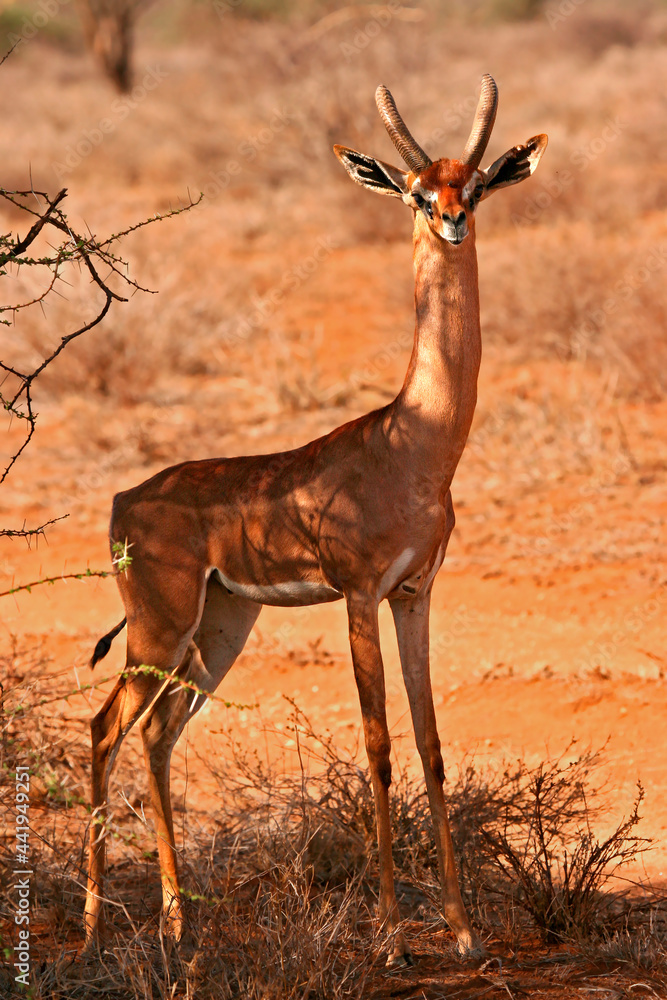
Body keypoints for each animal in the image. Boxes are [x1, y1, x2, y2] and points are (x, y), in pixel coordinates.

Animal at [84, 75, 547, 966]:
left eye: (471, 185)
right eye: (414, 189)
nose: (450, 220)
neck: (410, 442)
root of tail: (126, 500)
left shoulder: (415, 593)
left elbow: (430, 744)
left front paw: (464, 932)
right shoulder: (360, 594)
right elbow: (378, 744)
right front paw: (394, 937)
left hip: (221, 626)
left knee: (158, 734)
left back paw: (178, 922)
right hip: (159, 630)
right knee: (104, 728)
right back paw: (95, 930)